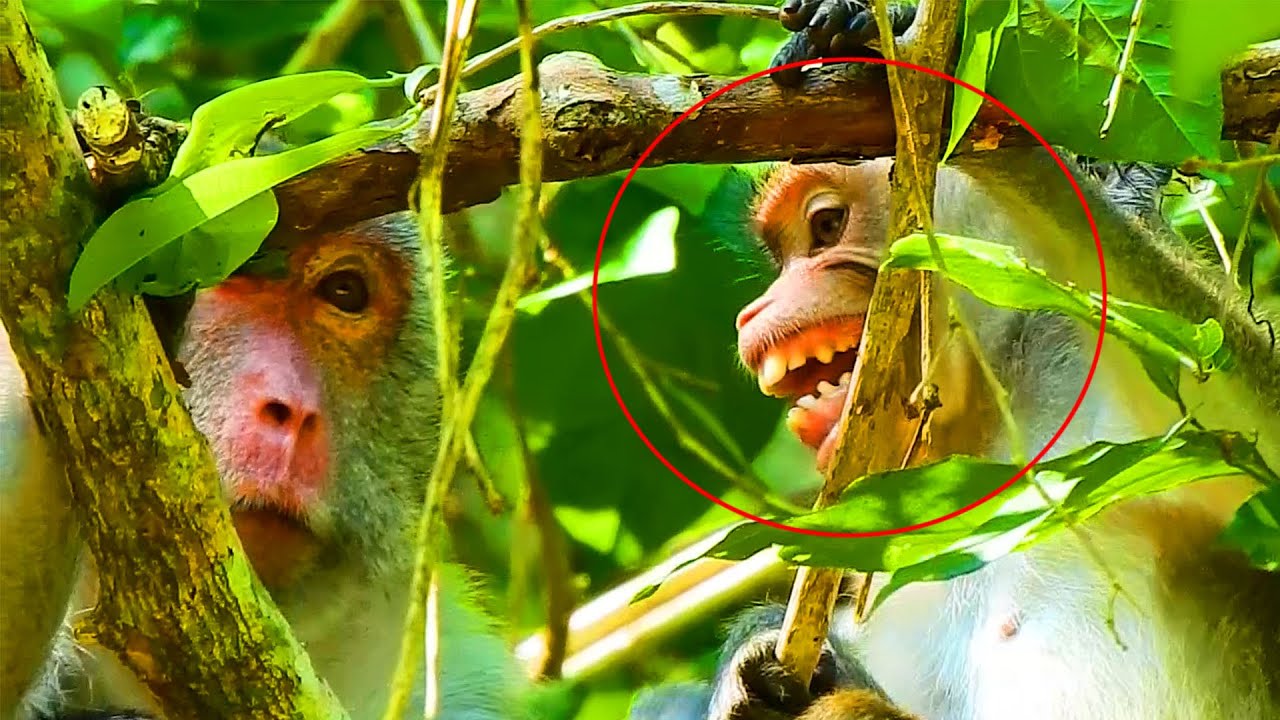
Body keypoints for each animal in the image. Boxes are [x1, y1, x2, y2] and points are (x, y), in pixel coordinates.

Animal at [627, 2, 1280, 719]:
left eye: (825, 226)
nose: (754, 312)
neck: (986, 434)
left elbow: (1253, 440)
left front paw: (901, 59)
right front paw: (752, 664)